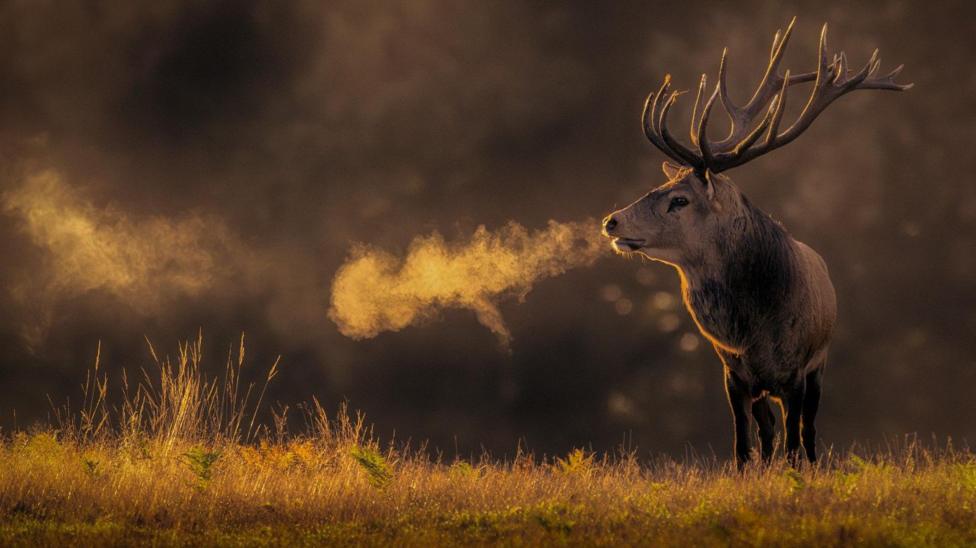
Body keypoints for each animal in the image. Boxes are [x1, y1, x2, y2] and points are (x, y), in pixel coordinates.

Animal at [601, 18, 911, 467]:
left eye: (680, 200)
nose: (612, 220)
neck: (755, 329)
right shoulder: (733, 374)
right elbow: (743, 448)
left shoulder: (797, 372)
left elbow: (795, 443)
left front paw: (797, 473)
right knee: (768, 436)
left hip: (820, 364)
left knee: (807, 432)